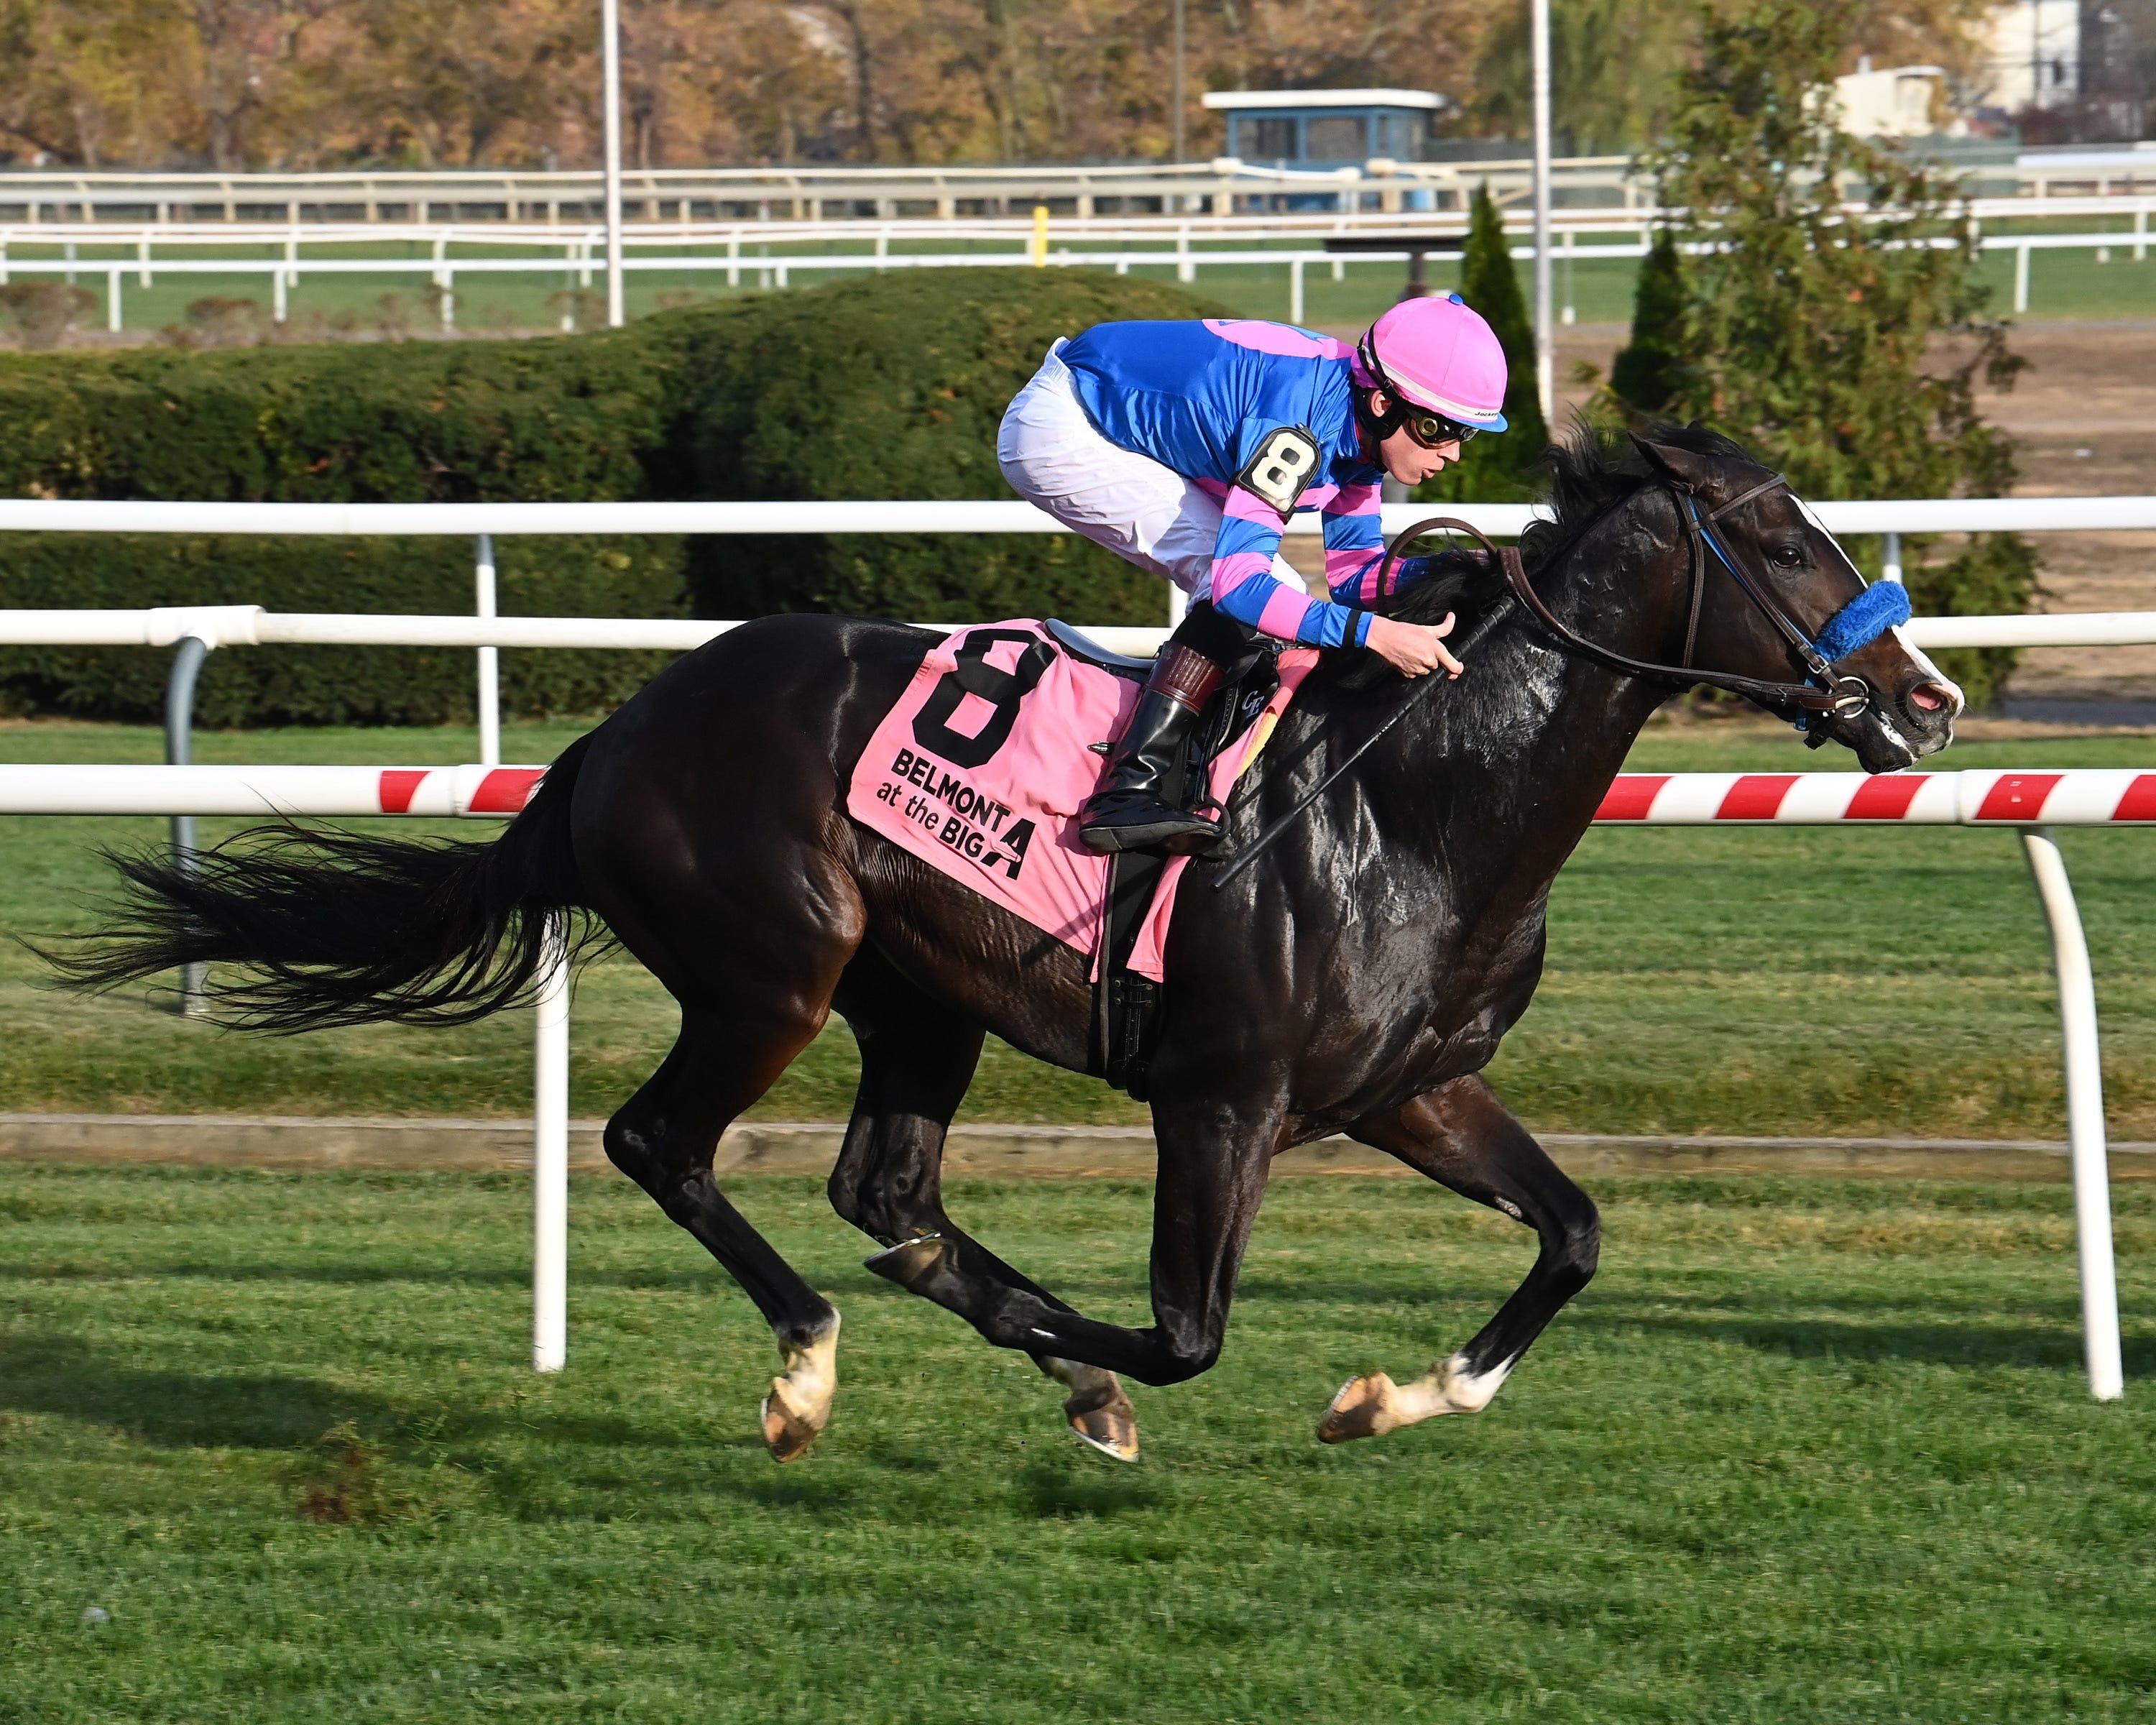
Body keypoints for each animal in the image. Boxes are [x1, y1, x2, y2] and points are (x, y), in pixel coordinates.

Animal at [53, 424, 1963, 1465]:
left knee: (882, 1183)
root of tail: (614, 733)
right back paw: (812, 1365)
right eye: (1783, 538)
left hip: (918, 997)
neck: (1418, 804)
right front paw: (1089, 1374)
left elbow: (1571, 1232)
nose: (1928, 698)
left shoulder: (1408, 1088)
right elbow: (1183, 1331)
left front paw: (1397, 1395)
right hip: (775, 964)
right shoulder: (1219, 1097)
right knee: (665, 1144)